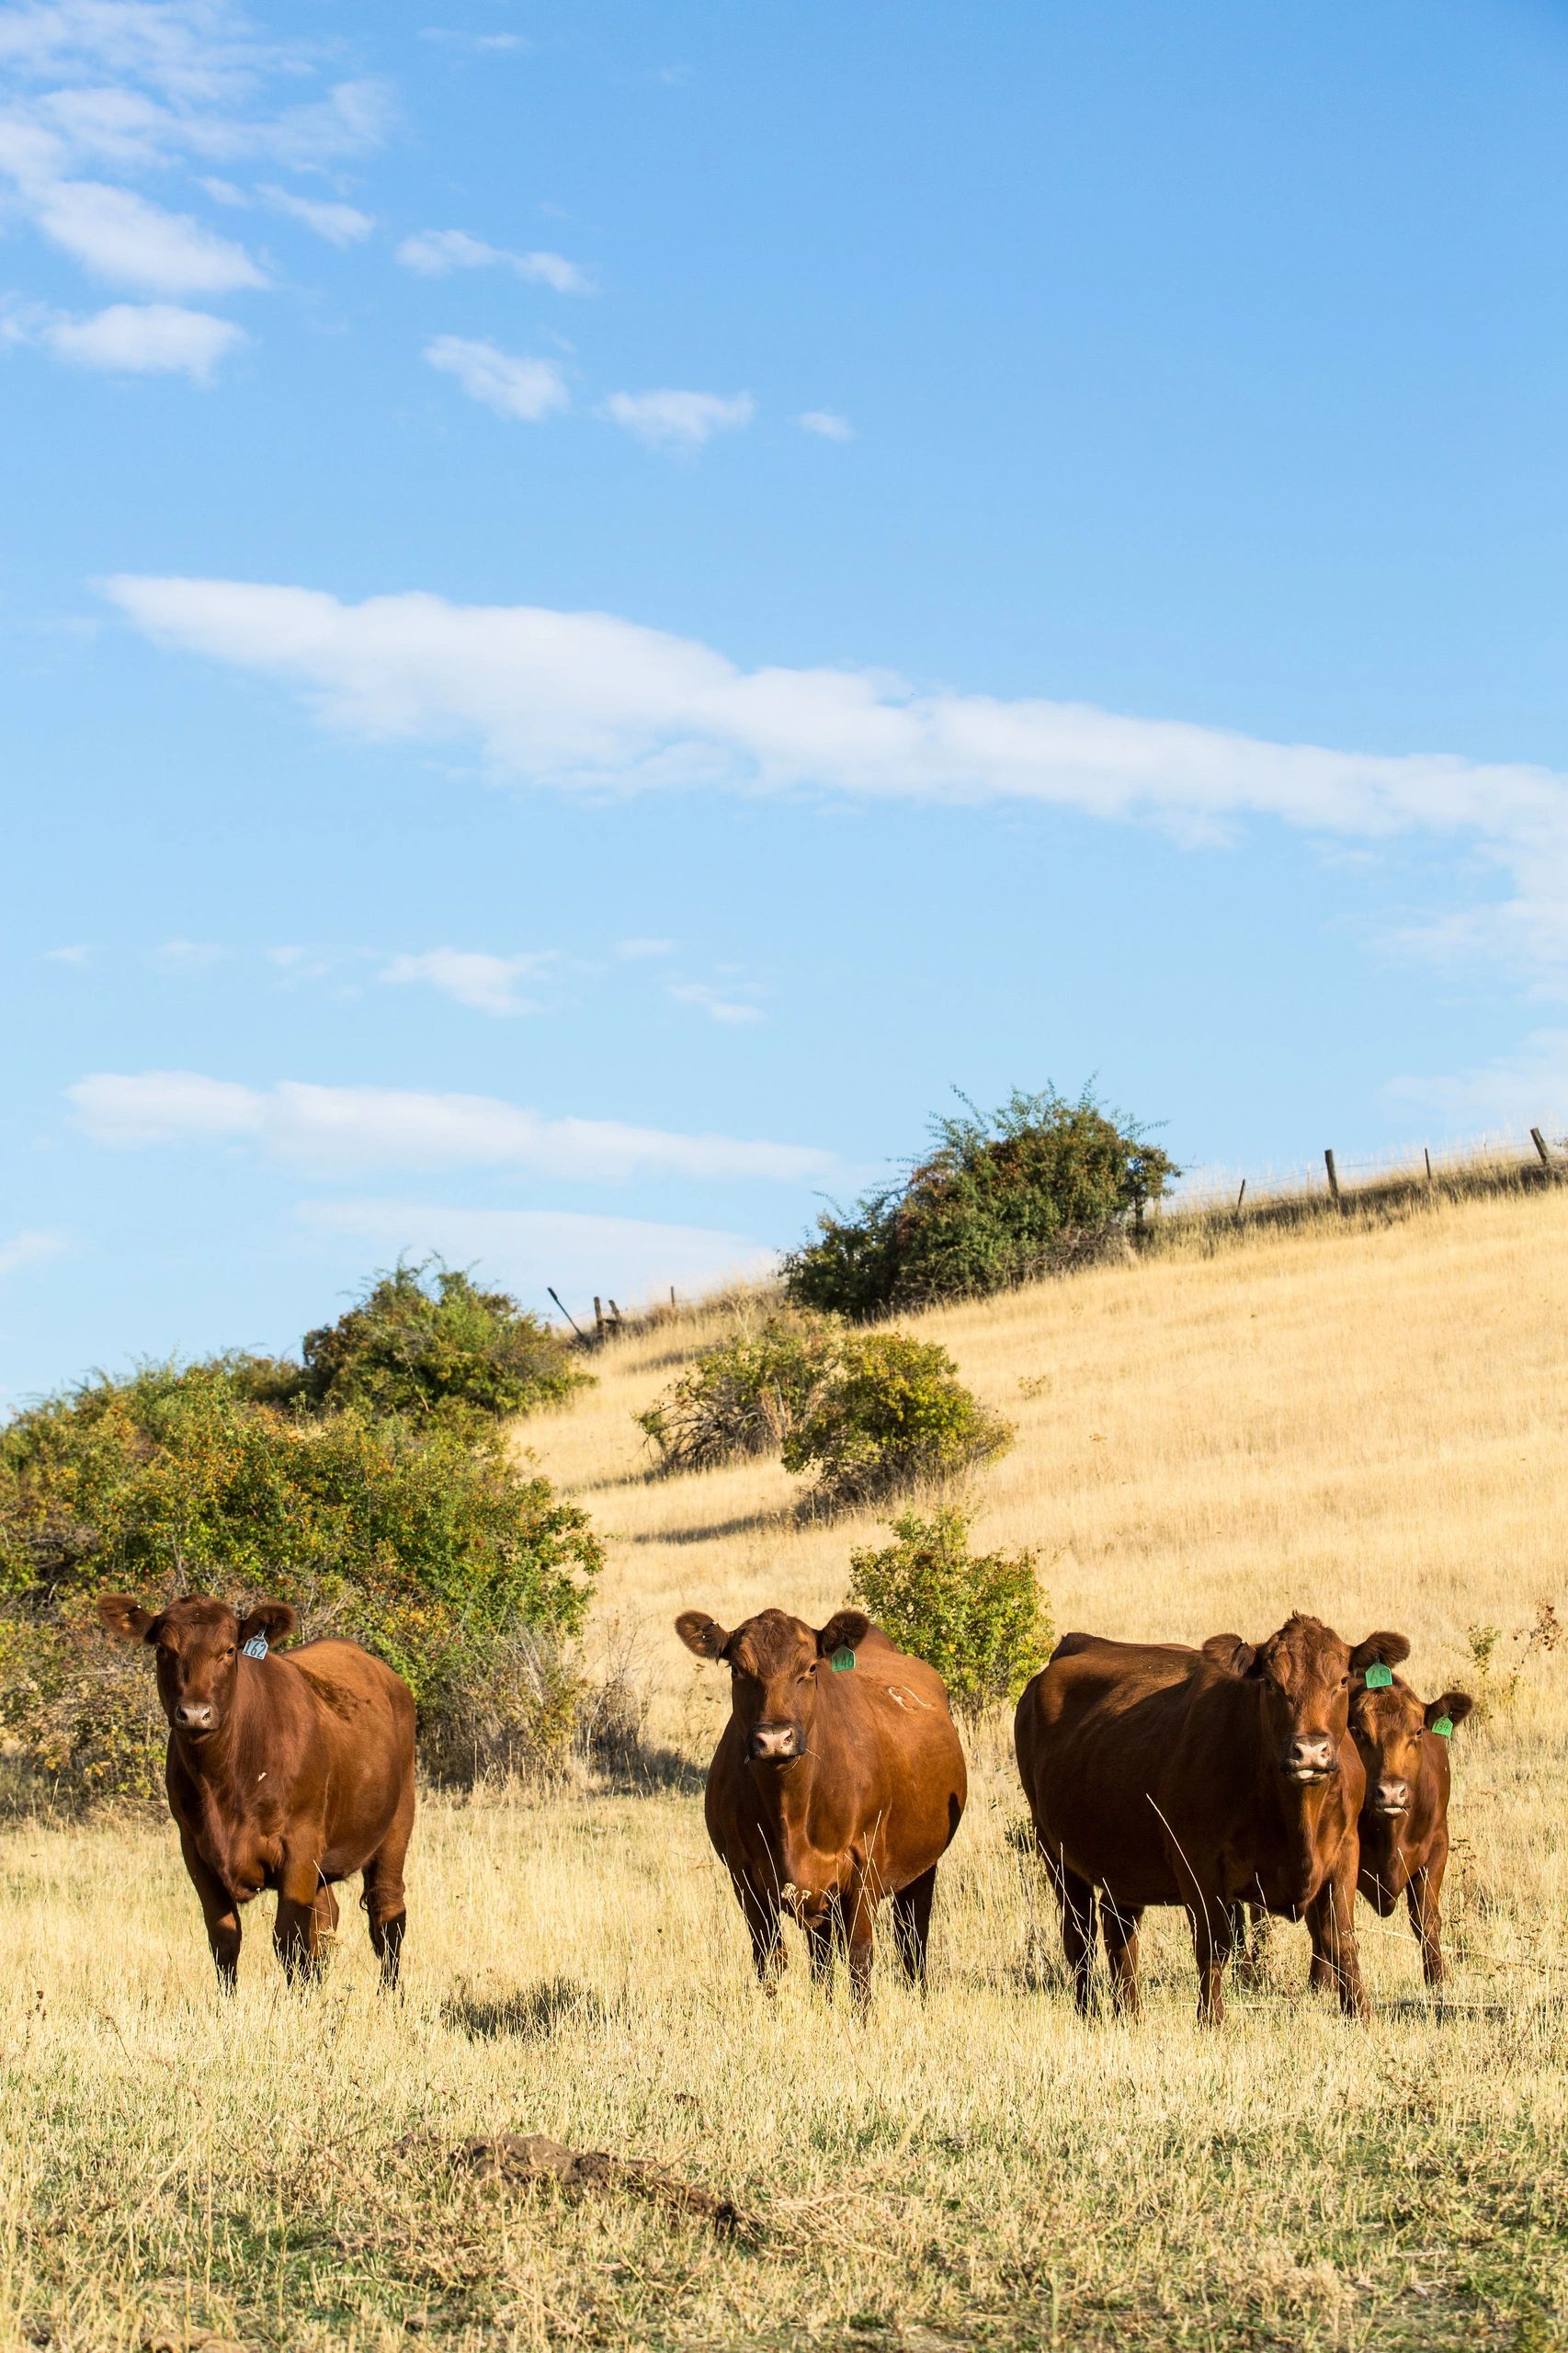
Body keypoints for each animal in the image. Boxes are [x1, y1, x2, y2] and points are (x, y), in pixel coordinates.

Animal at [97, 1592, 416, 1990]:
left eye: (229, 1650)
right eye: (163, 1650)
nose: (195, 1713)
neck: (223, 1781)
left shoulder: (299, 1842)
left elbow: (290, 1939)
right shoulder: (194, 1849)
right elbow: (224, 1937)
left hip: (397, 1822)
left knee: (386, 1913)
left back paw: (389, 1995)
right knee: (326, 1919)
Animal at [676, 1604, 967, 2006]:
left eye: (810, 1668)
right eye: (737, 1669)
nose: (775, 1738)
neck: (790, 1809)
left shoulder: (864, 1865)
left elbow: (860, 1955)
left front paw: (862, 2019)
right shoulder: (743, 1874)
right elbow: (769, 1957)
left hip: (922, 1868)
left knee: (912, 1938)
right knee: (822, 1955)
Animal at [1014, 1614, 1410, 2023]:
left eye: (1343, 1681)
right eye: (1270, 1682)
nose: (1310, 1751)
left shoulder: (1344, 1853)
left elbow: (1341, 1939)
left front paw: (1360, 2014)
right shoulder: (1197, 1863)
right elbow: (1214, 1944)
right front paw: (1212, 2020)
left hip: (1120, 1862)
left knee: (1119, 1930)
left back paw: (1130, 2014)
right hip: (1055, 1852)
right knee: (1079, 1933)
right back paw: (1089, 2012)